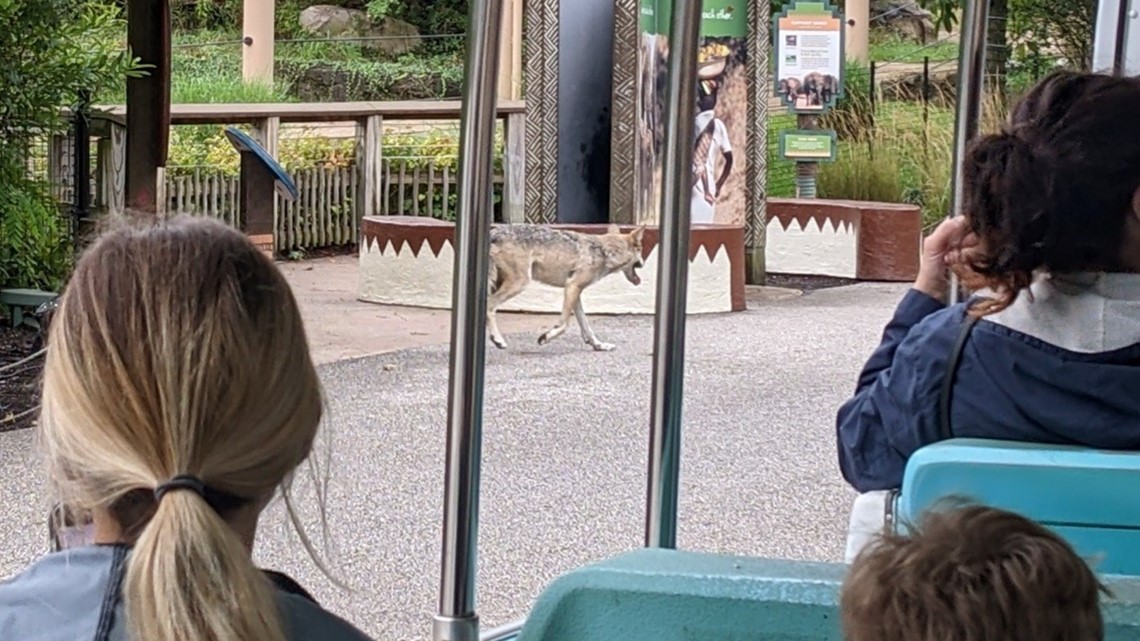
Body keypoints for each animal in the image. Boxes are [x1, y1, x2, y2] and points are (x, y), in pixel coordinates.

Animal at [487, 224, 646, 352]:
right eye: (640, 250)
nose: (643, 264)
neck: (603, 251)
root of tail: (494, 232)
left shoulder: (575, 292)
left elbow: (586, 325)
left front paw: (599, 345)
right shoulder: (572, 286)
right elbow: (564, 324)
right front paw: (546, 337)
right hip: (520, 283)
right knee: (490, 306)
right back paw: (497, 339)